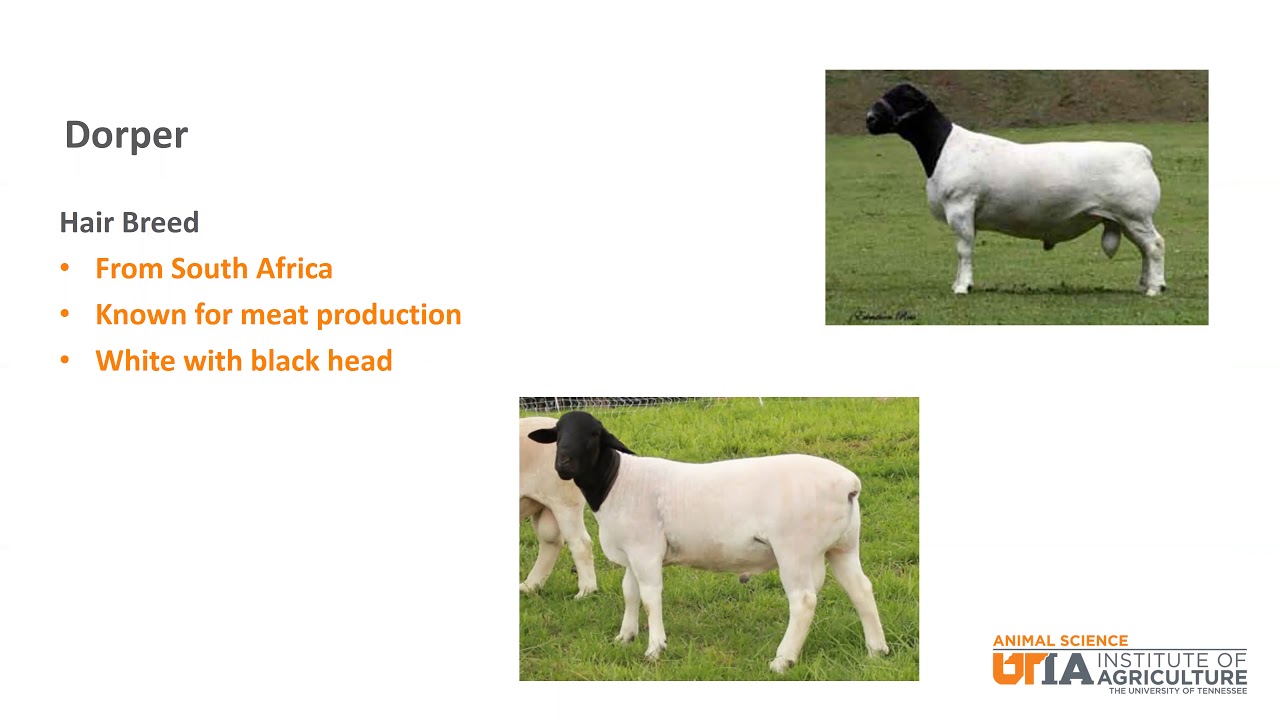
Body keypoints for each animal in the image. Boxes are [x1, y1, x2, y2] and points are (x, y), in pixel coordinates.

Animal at [519, 416, 598, 598]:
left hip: (565, 501)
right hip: (543, 503)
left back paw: (586, 591)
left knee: (581, 544)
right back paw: (529, 586)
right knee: (550, 541)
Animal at [865, 83, 1167, 296]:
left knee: (1155, 245)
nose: (869, 118)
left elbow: (964, 249)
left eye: (901, 96)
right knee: (1144, 249)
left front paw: (962, 287)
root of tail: (1140, 152)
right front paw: (958, 283)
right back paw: (1146, 283)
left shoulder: (961, 207)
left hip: (1135, 215)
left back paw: (1155, 288)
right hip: (1127, 218)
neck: (943, 148)